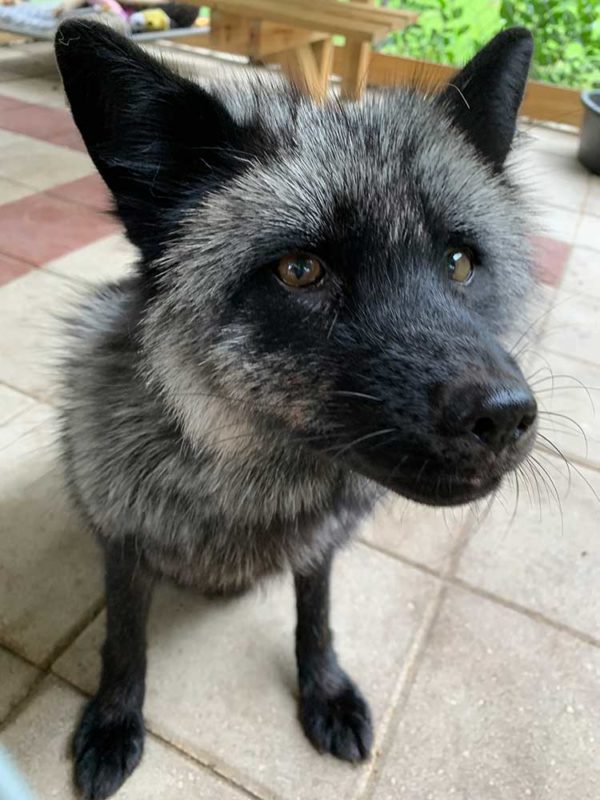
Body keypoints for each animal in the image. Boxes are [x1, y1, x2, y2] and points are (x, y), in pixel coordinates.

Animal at [54, 20, 537, 799]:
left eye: (460, 262)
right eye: (300, 270)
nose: (504, 417)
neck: (259, 488)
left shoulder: (322, 550)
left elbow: (317, 621)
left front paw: (326, 692)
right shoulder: (124, 544)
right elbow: (124, 644)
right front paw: (114, 721)